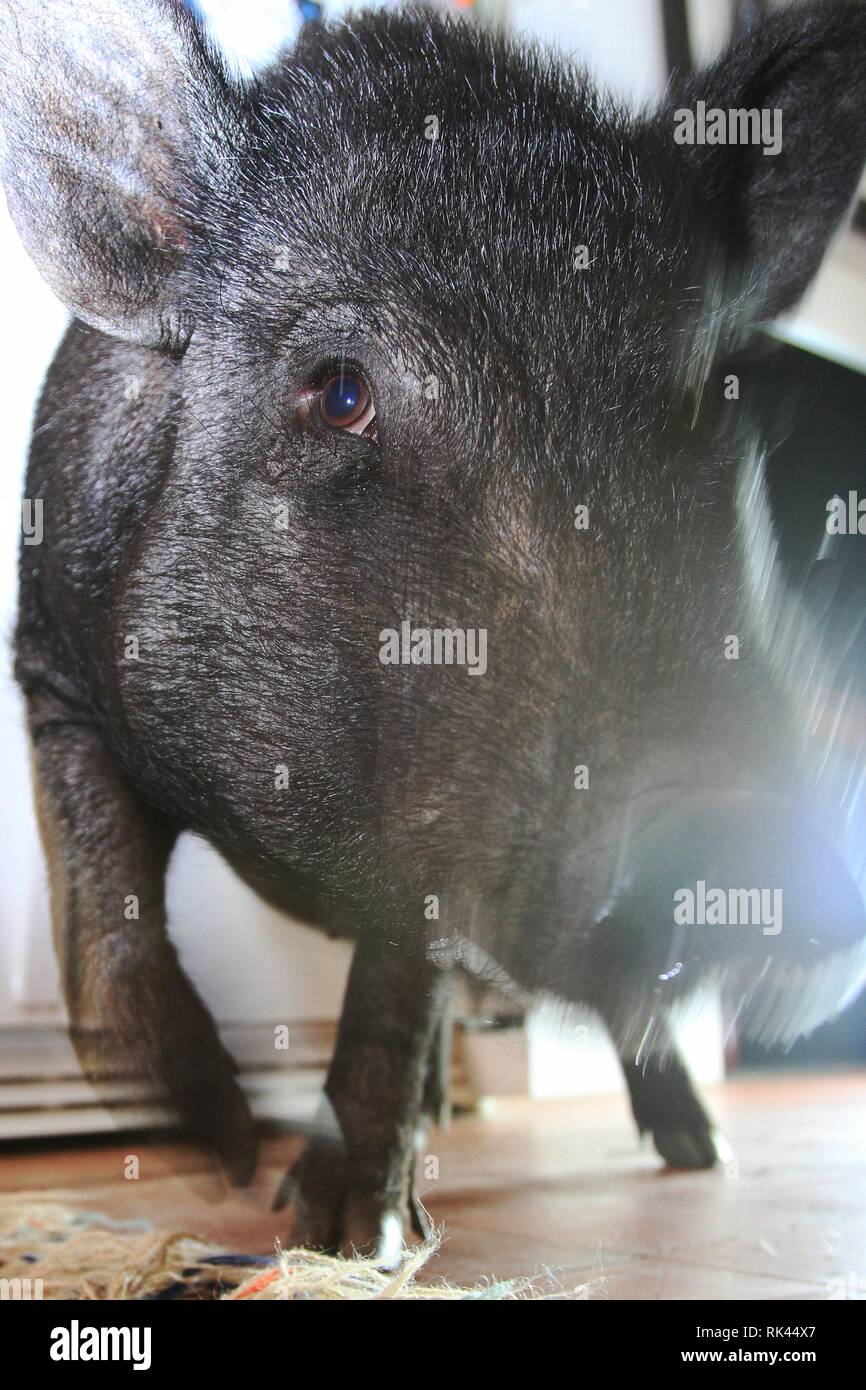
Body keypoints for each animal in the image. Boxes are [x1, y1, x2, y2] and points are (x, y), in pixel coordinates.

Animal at [1, 0, 865, 1266]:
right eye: (339, 390)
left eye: (708, 408)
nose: (748, 837)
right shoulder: (49, 667)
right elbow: (98, 924)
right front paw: (225, 1152)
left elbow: (398, 993)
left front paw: (343, 1233)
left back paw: (697, 1153)